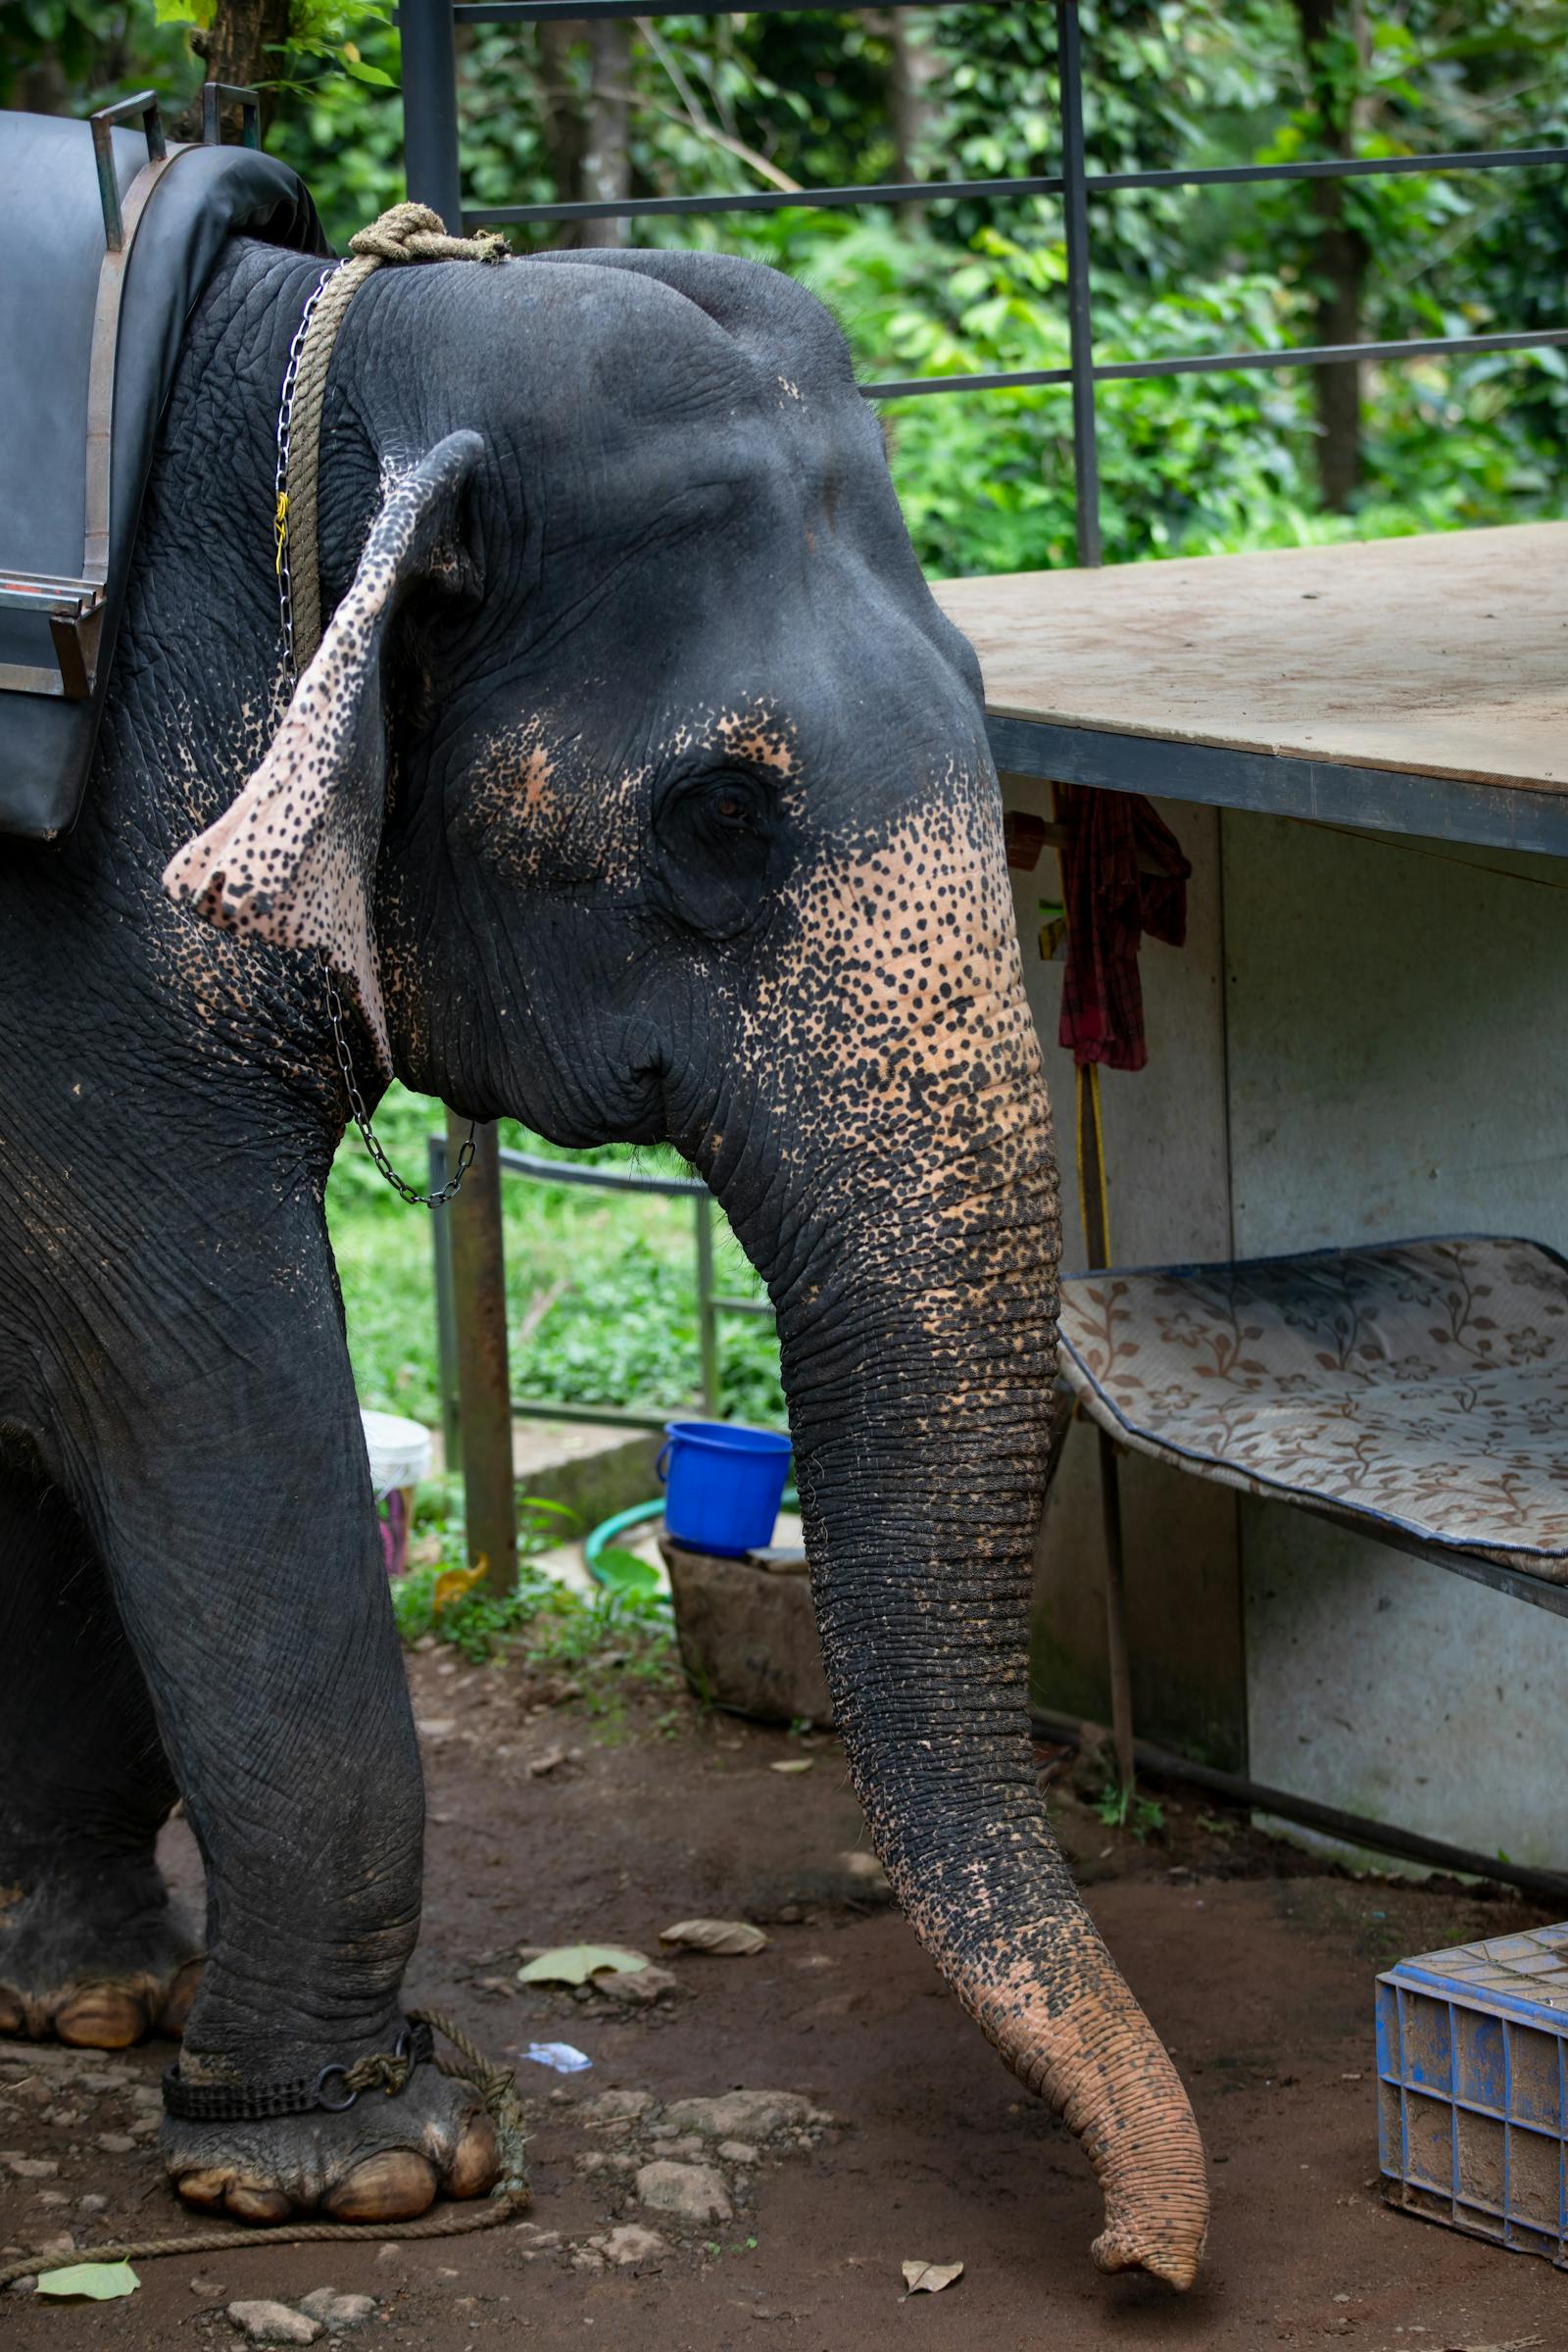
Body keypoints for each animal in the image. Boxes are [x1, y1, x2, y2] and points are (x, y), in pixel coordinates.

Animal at [0, 223, 1209, 2285]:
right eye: (721, 811)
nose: (1142, 2262)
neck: (301, 339)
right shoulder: (82, 960)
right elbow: (188, 1378)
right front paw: (358, 2168)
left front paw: (93, 2004)